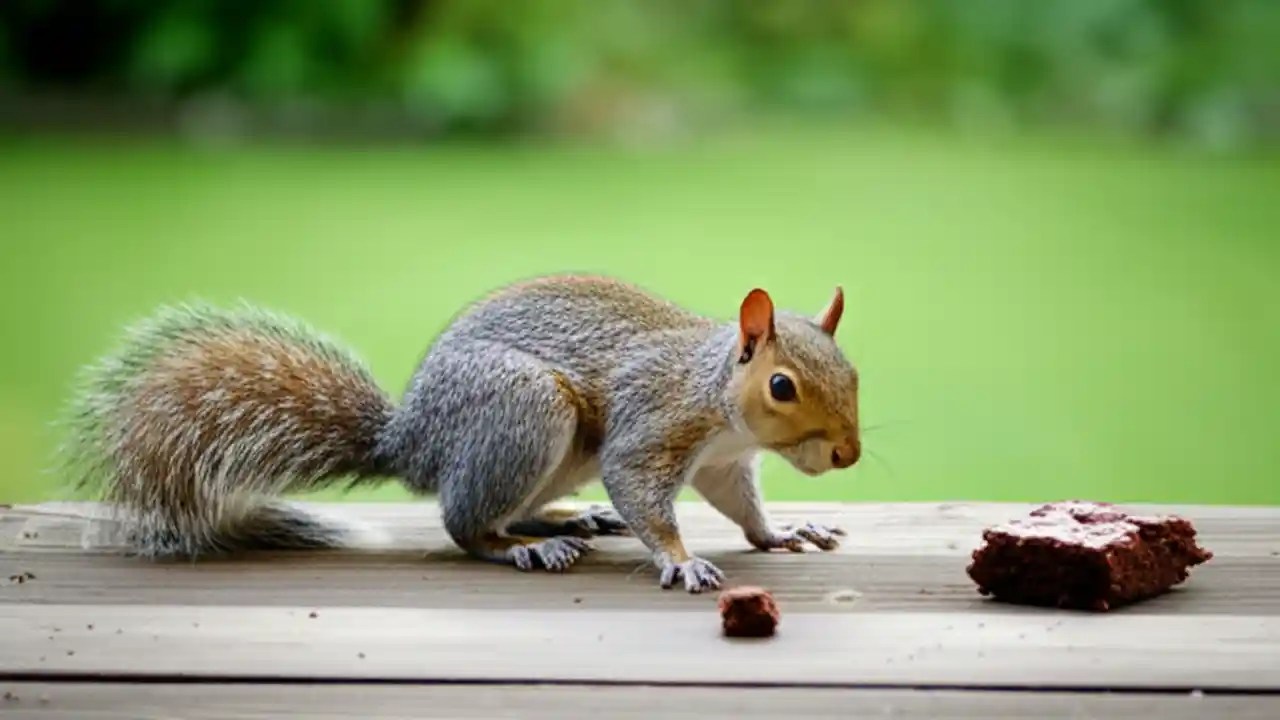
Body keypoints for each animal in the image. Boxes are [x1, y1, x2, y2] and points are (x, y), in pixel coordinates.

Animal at [61, 275, 861, 592]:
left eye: (852, 370)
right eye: (783, 386)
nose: (848, 453)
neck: (713, 390)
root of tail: (411, 442)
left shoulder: (723, 463)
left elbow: (743, 508)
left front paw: (783, 533)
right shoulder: (652, 421)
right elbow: (640, 489)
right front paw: (682, 560)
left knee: (501, 507)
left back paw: (566, 520)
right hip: (523, 414)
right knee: (465, 524)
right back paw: (524, 548)